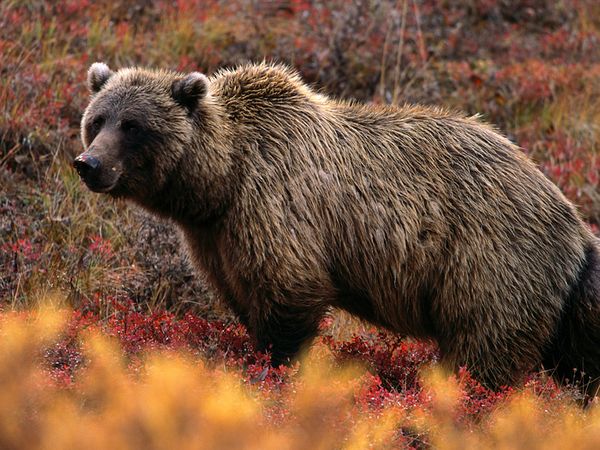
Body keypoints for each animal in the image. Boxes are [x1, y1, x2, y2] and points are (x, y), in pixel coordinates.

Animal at [76, 60, 600, 394]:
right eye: (97, 119)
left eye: (133, 125)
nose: (88, 164)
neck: (220, 181)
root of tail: (573, 219)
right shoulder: (216, 237)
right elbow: (241, 294)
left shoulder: (274, 205)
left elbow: (289, 295)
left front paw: (276, 368)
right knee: (580, 354)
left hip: (491, 261)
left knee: (484, 352)